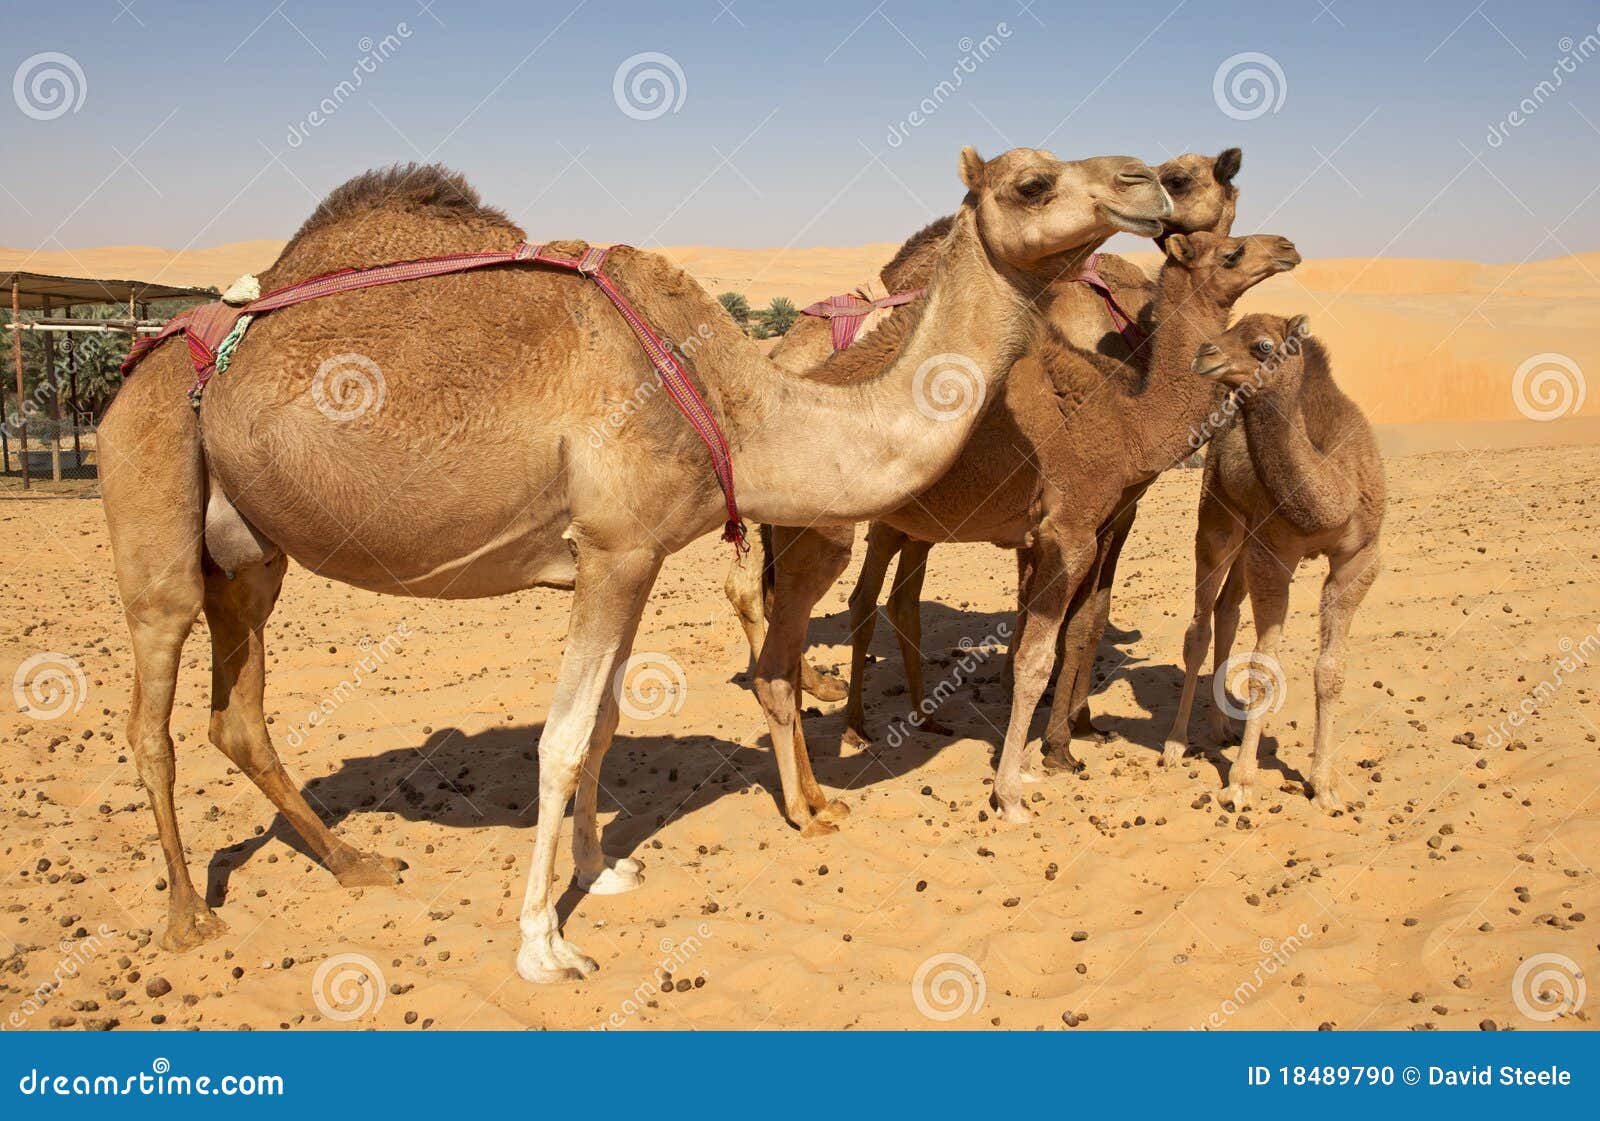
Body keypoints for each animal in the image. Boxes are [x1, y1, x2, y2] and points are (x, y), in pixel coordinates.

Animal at [98, 149, 1171, 982]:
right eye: (1033, 181)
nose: (1151, 183)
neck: (735, 397)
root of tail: (142, 361)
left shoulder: (640, 554)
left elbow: (608, 721)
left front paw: (601, 868)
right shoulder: (614, 548)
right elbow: (564, 737)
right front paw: (543, 943)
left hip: (250, 554)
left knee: (238, 715)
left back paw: (356, 861)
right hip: (154, 502)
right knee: (150, 716)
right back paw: (189, 915)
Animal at [1162, 314, 1384, 813]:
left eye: (1263, 345)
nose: (1204, 353)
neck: (1333, 488)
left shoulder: (1359, 558)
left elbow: (1330, 671)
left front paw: (1324, 786)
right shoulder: (1273, 555)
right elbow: (1264, 672)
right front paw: (1241, 784)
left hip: (1248, 537)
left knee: (1226, 611)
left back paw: (1223, 727)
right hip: (1219, 518)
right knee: (1200, 627)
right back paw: (1176, 741)